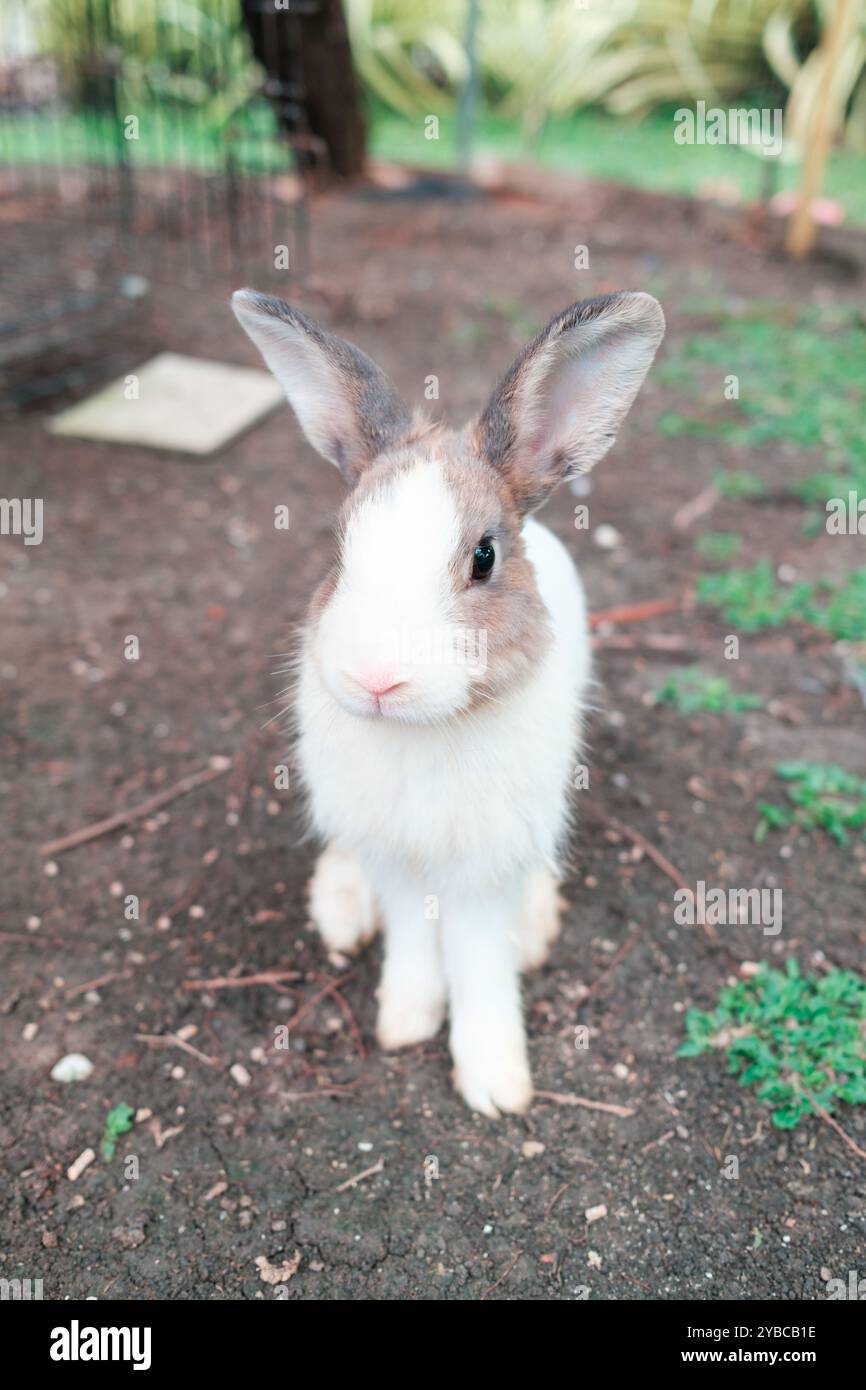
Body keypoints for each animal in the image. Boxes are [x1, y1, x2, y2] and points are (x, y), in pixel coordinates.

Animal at [232, 288, 665, 1116]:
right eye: (339, 550)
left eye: (484, 558)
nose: (375, 678)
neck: (422, 730)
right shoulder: (396, 857)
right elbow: (413, 941)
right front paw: (405, 1020)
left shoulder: (483, 869)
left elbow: (478, 959)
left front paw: (495, 1083)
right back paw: (341, 907)